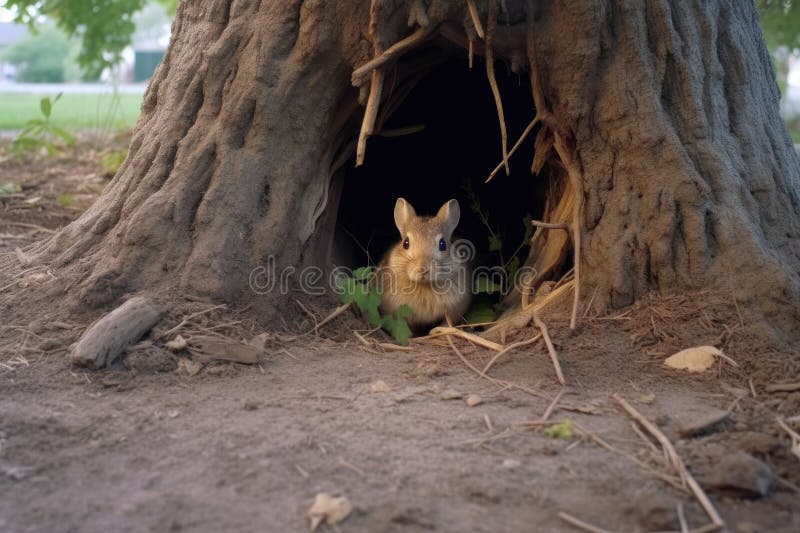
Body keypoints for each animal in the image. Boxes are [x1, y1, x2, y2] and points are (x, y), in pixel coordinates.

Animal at [377, 197, 472, 332]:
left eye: (443, 244)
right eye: (406, 243)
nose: (422, 269)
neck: (424, 285)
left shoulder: (455, 309)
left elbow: (448, 321)